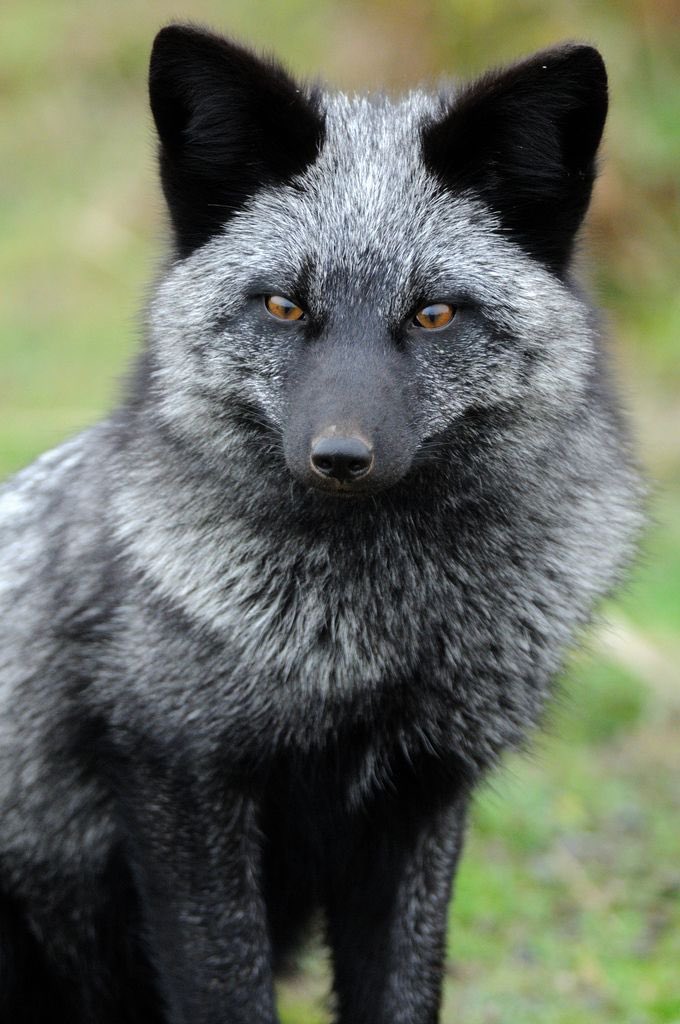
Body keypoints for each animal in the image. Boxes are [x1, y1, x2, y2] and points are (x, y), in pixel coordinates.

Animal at [0, 22, 643, 1024]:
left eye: (433, 313)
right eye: (284, 305)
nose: (340, 457)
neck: (375, 637)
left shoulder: (420, 798)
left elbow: (401, 994)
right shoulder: (179, 774)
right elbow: (227, 994)